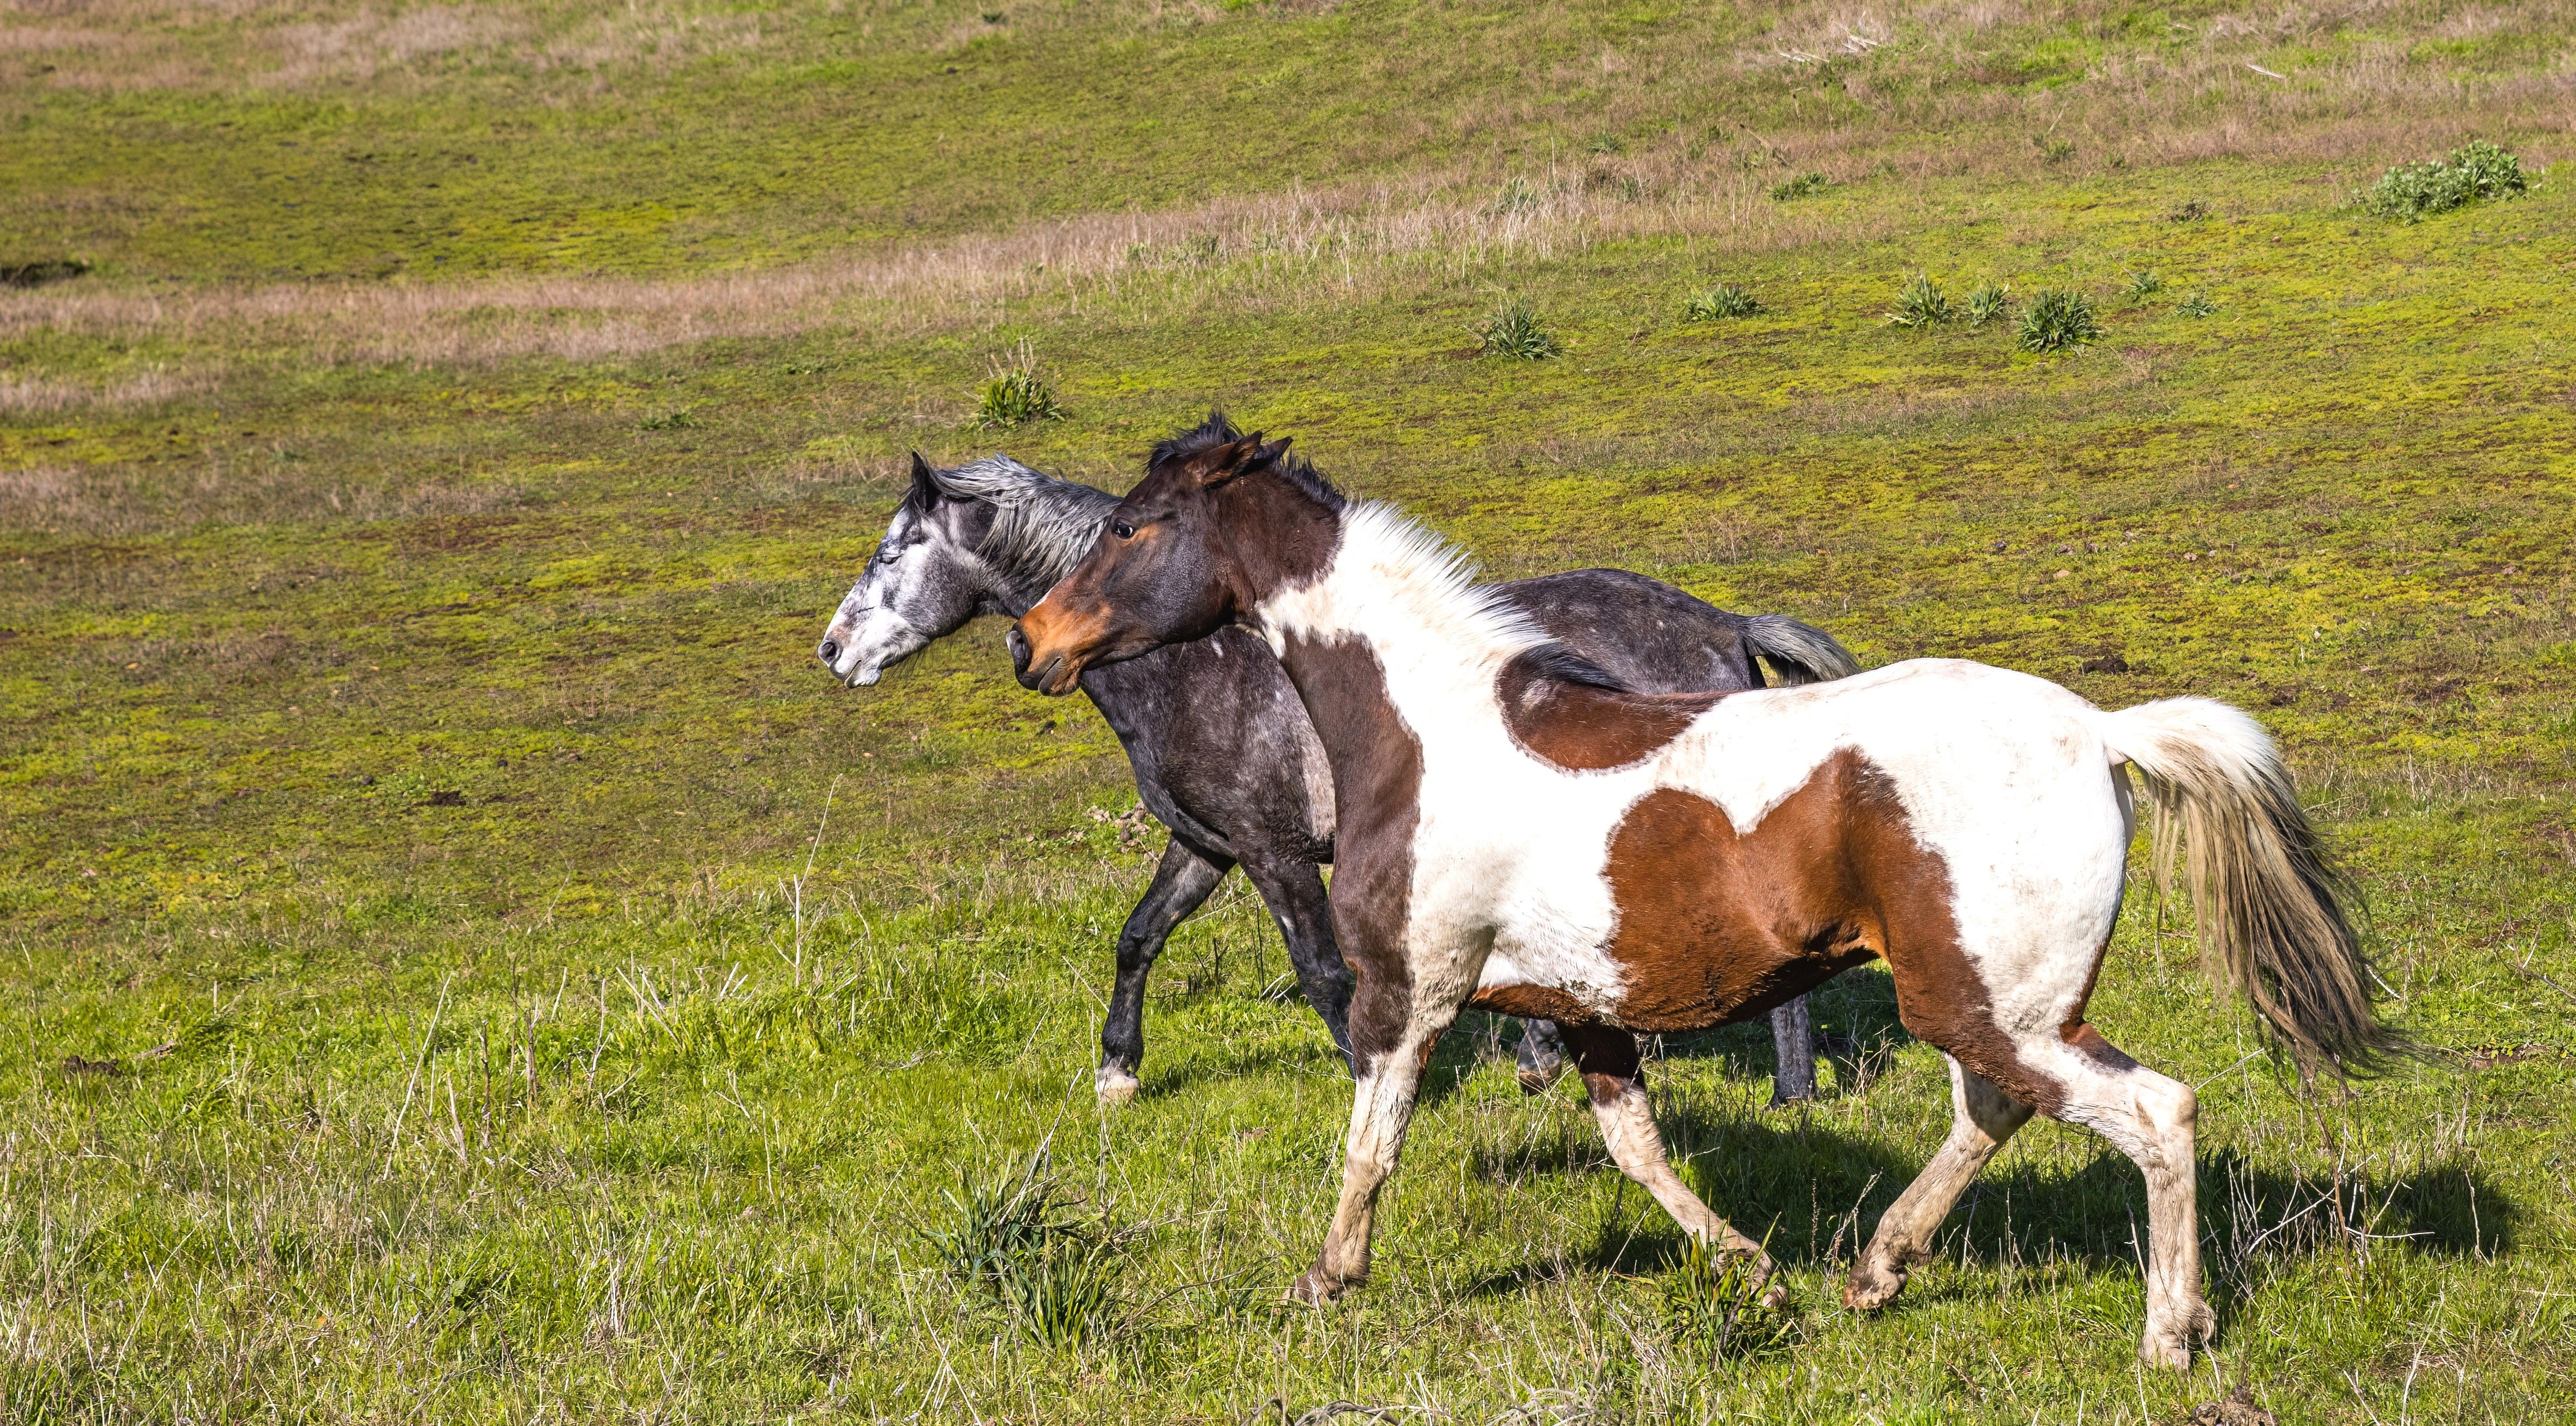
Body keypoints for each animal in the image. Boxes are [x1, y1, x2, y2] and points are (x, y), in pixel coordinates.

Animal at [815, 424, 1860, 1106]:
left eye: (895, 551)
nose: (833, 650)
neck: (1199, 661)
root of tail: (1723, 625)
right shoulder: (1207, 845)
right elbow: (1137, 937)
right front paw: (1116, 1070)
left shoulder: (1275, 852)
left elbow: (1322, 972)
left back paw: (1791, 1096)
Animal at [1009, 426, 2408, 1367]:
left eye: (1130, 526)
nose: (1036, 642)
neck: (1426, 731)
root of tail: (2096, 729)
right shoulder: (1580, 1009)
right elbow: (1635, 1147)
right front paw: (1756, 1274)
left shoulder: (1408, 987)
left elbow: (1373, 1136)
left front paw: (1323, 1280)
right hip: (1994, 1004)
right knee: (1997, 1111)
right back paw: (1872, 1273)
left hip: (1985, 1003)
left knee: (2154, 1109)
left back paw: (2169, 1332)